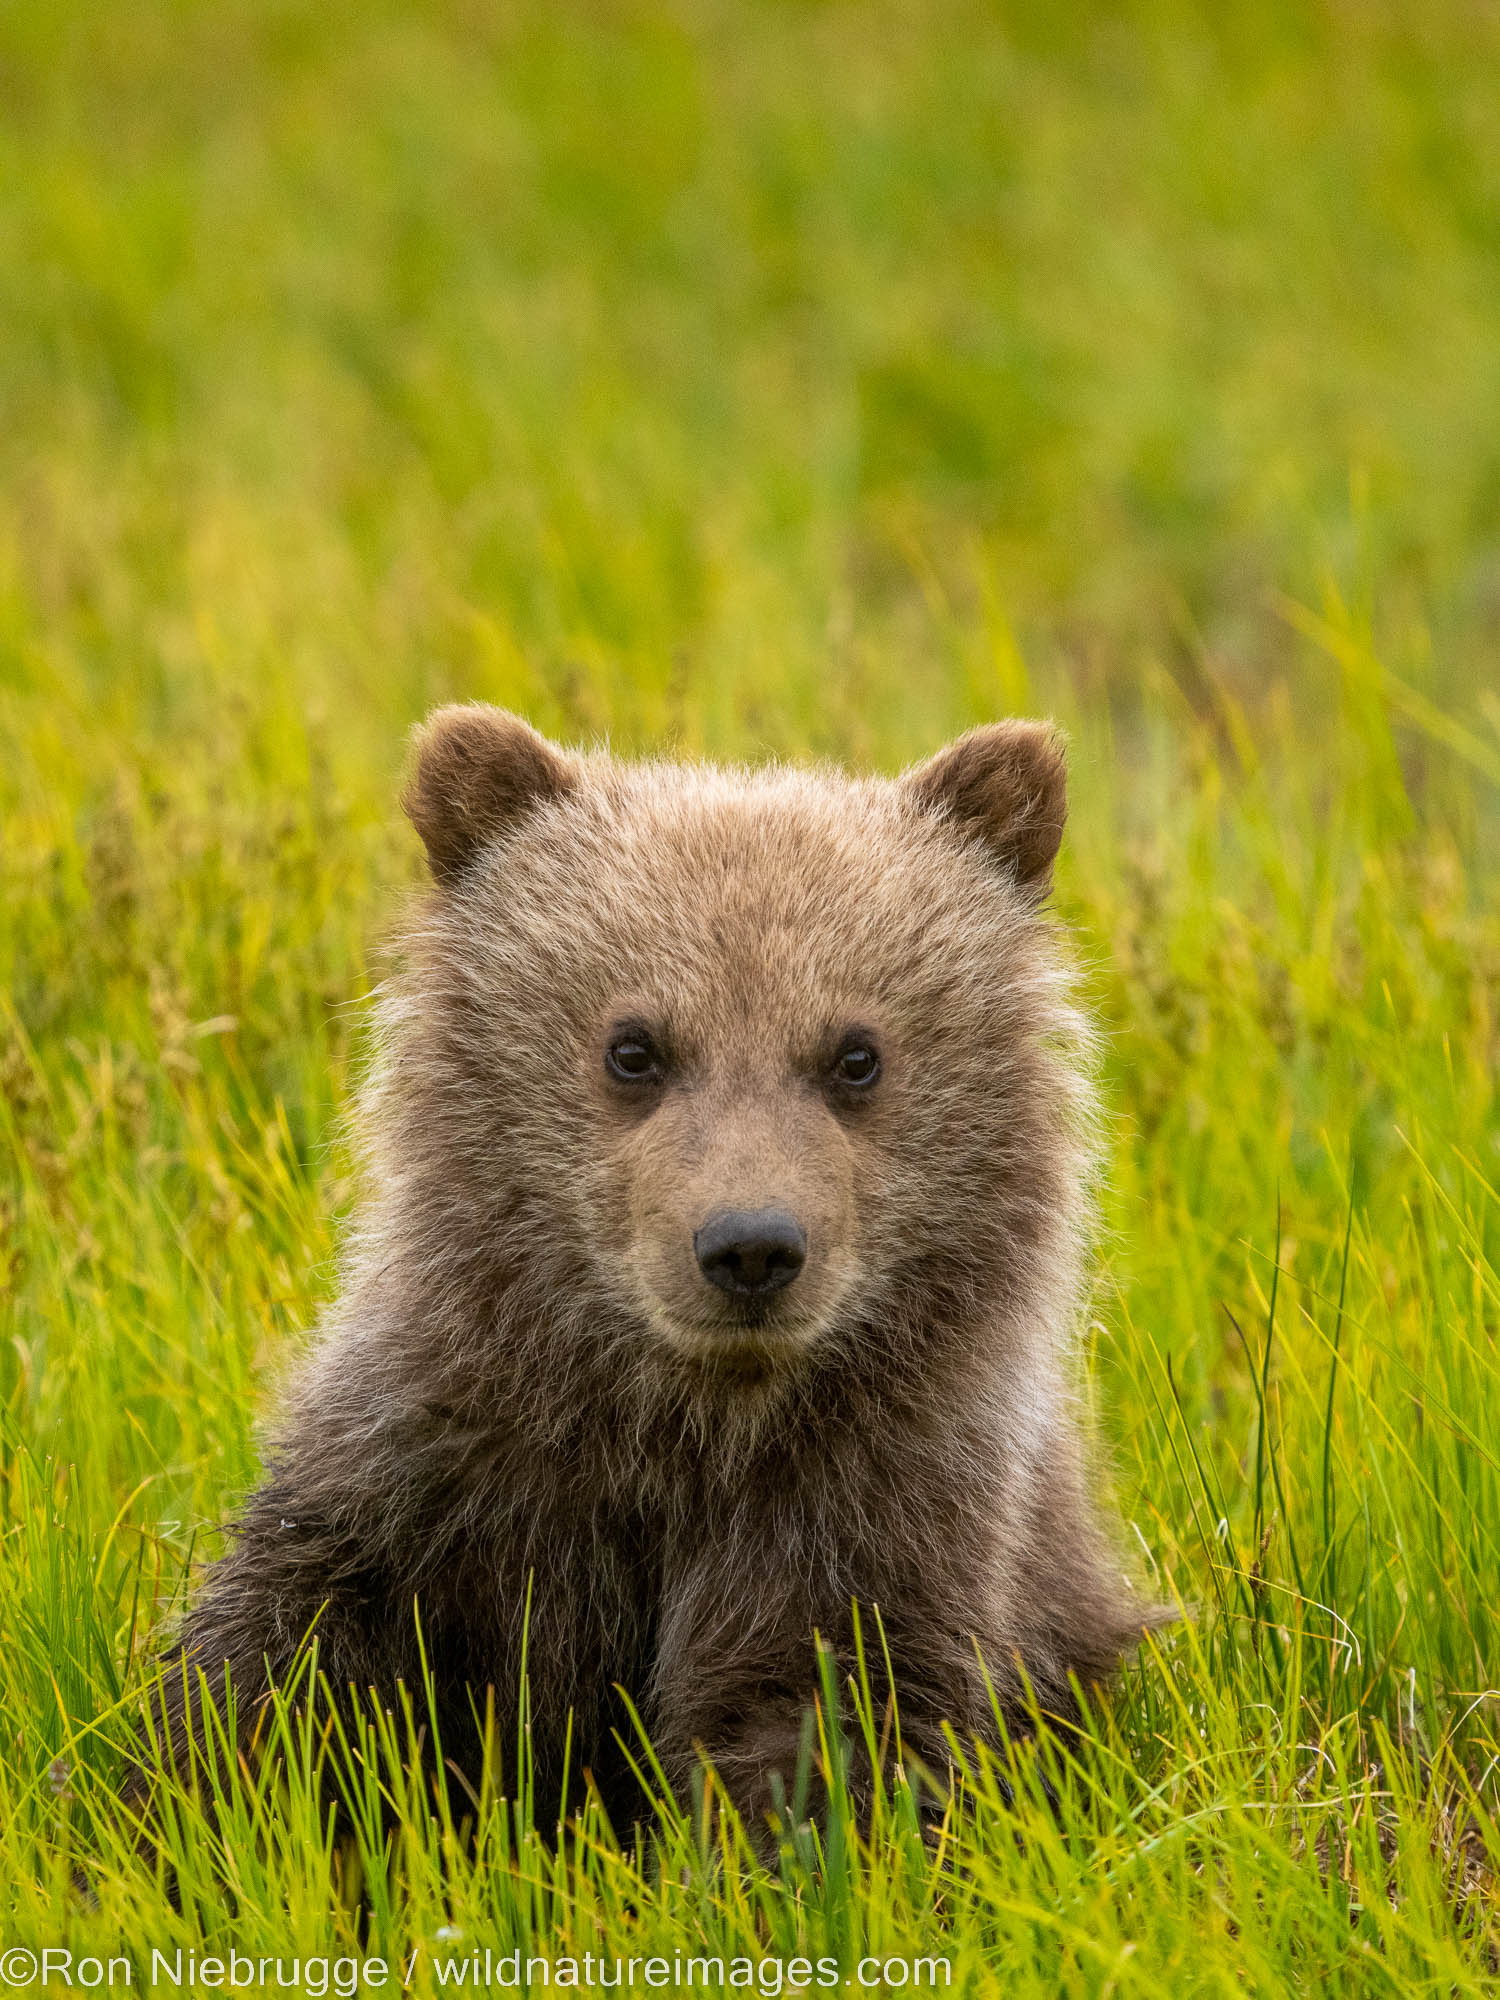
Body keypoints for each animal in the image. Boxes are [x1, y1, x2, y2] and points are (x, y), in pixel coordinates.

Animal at [142, 705, 1149, 1839]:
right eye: (634, 1046)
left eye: (856, 1054)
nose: (750, 1245)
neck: (677, 1424)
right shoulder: (438, 1464)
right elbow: (288, 1663)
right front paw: (172, 1812)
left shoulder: (870, 1505)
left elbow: (825, 1723)